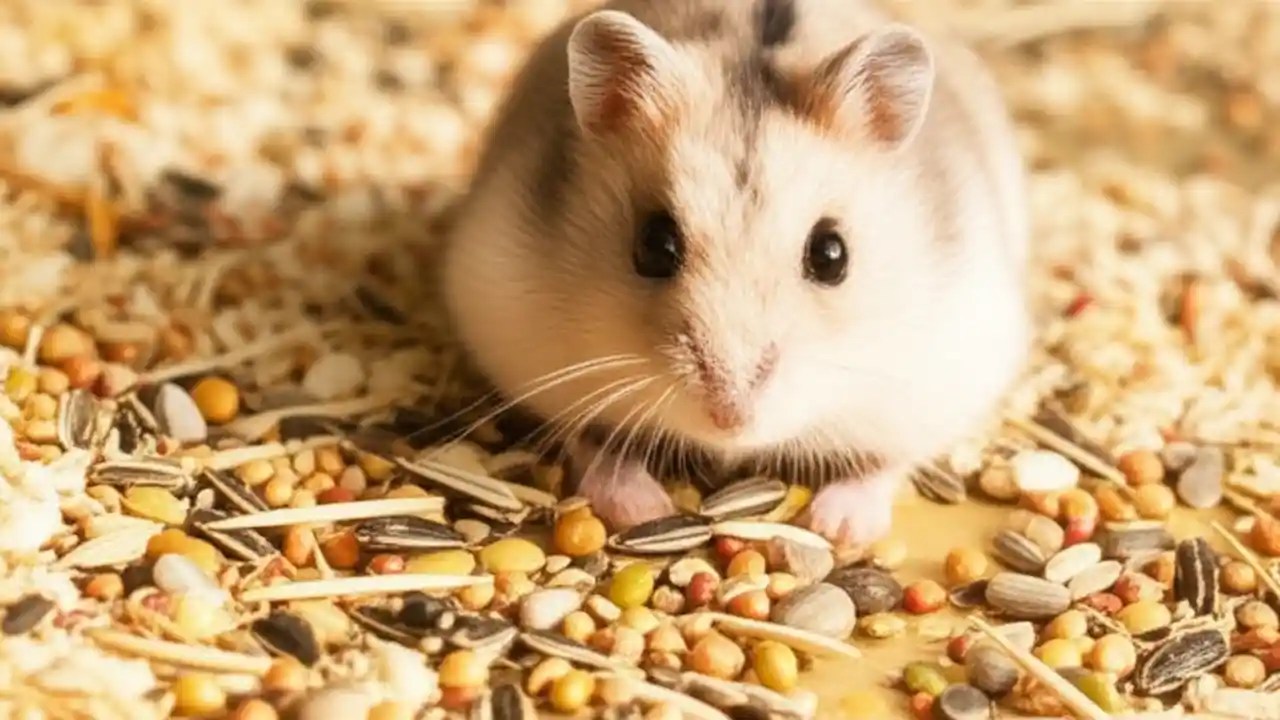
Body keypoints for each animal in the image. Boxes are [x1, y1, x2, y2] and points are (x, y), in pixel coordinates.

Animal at [440, 0, 1031, 548]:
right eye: (653, 245)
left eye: (831, 255)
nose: (731, 416)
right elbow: (593, 443)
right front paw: (645, 511)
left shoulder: (936, 381)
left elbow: (885, 463)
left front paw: (836, 528)